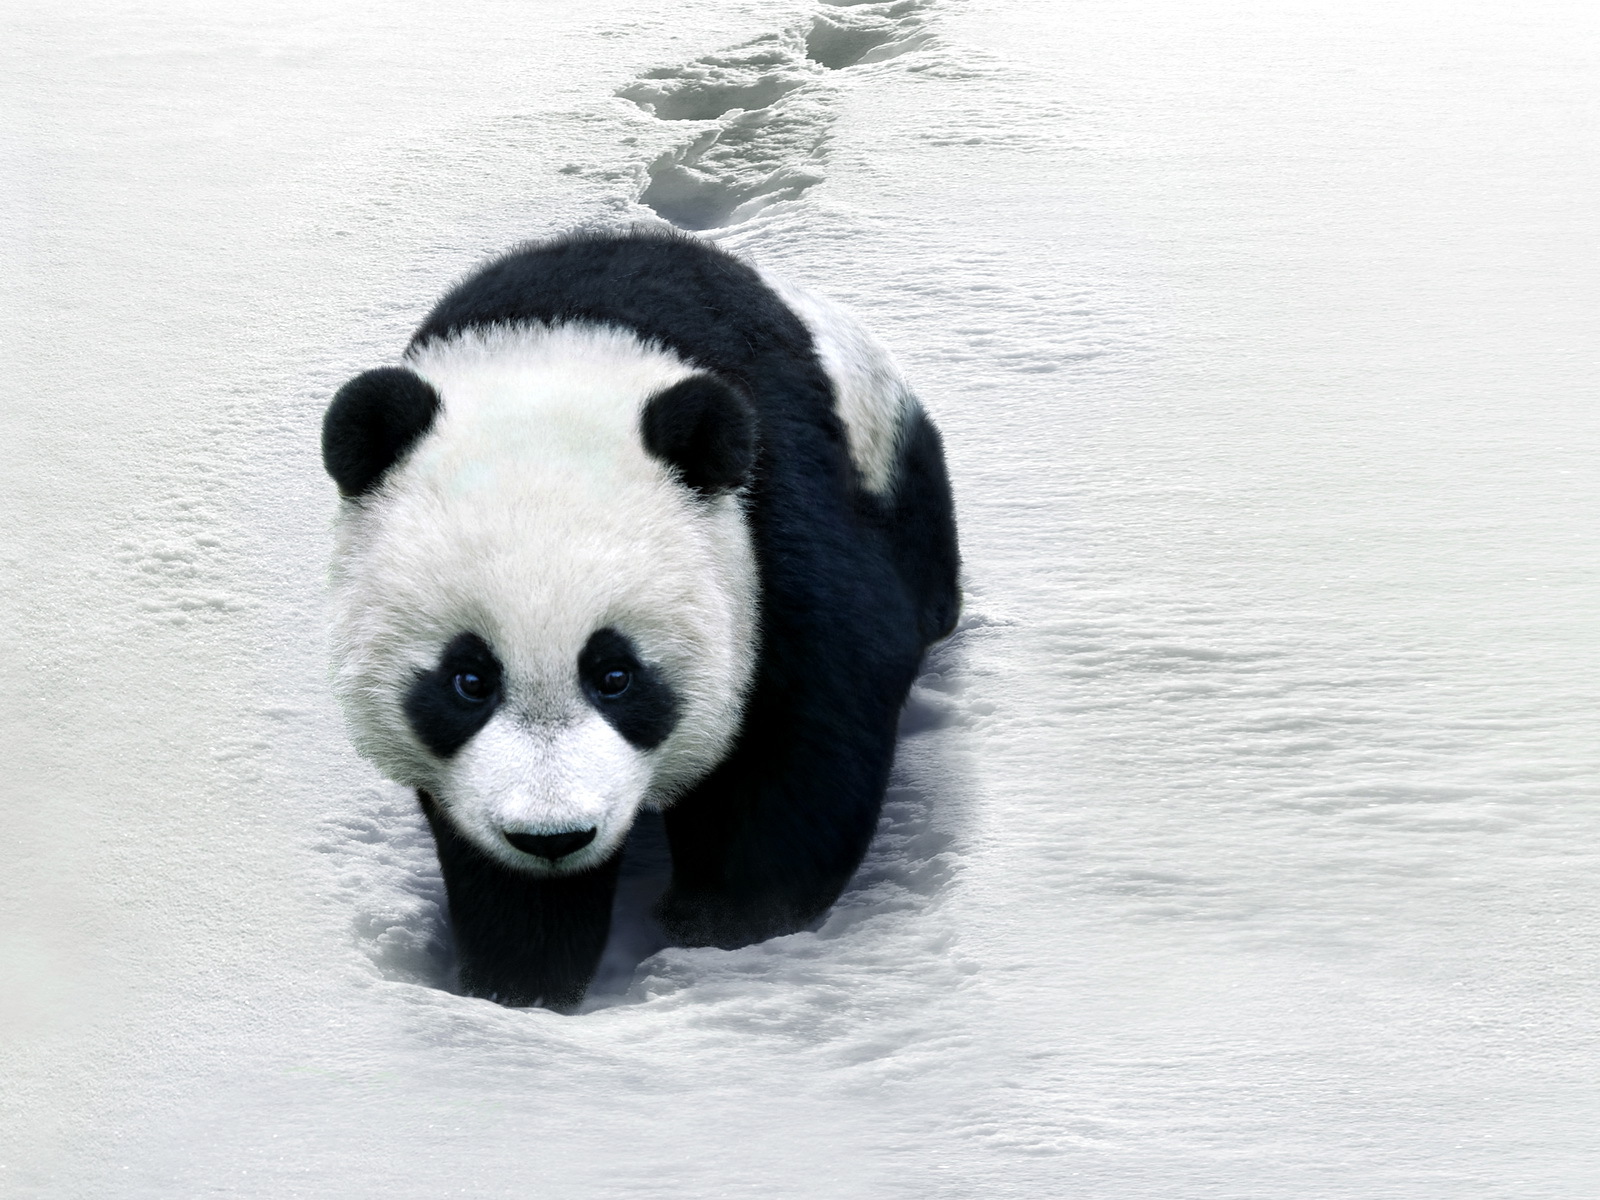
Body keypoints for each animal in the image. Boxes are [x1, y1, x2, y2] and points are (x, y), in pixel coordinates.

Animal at [322, 228, 959, 1009]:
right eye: (468, 680)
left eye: (616, 675)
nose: (553, 837)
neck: (560, 345)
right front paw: (520, 976)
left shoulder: (771, 521)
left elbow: (809, 727)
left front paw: (722, 928)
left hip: (887, 455)